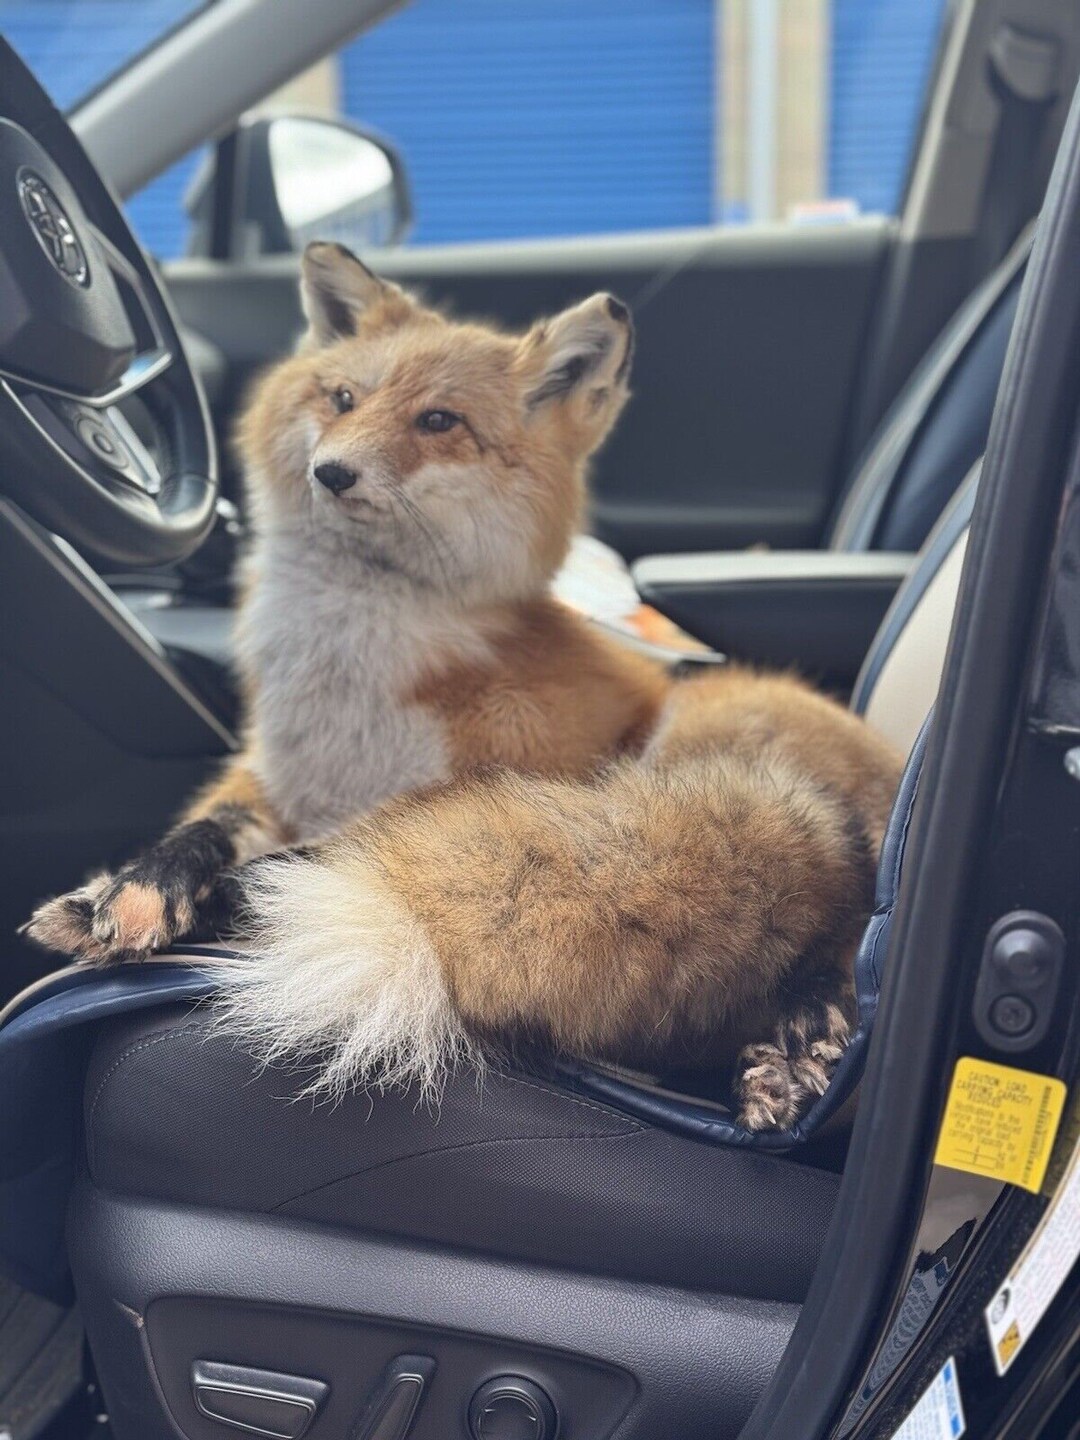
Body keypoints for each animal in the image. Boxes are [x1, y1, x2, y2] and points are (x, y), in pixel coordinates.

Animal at [24, 241, 903, 1130]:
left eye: (438, 422)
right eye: (344, 398)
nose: (330, 472)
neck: (350, 679)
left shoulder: (487, 782)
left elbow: (333, 855)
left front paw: (206, 897)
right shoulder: (277, 774)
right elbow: (202, 833)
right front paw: (136, 886)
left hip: (690, 757)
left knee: (843, 944)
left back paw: (802, 1048)